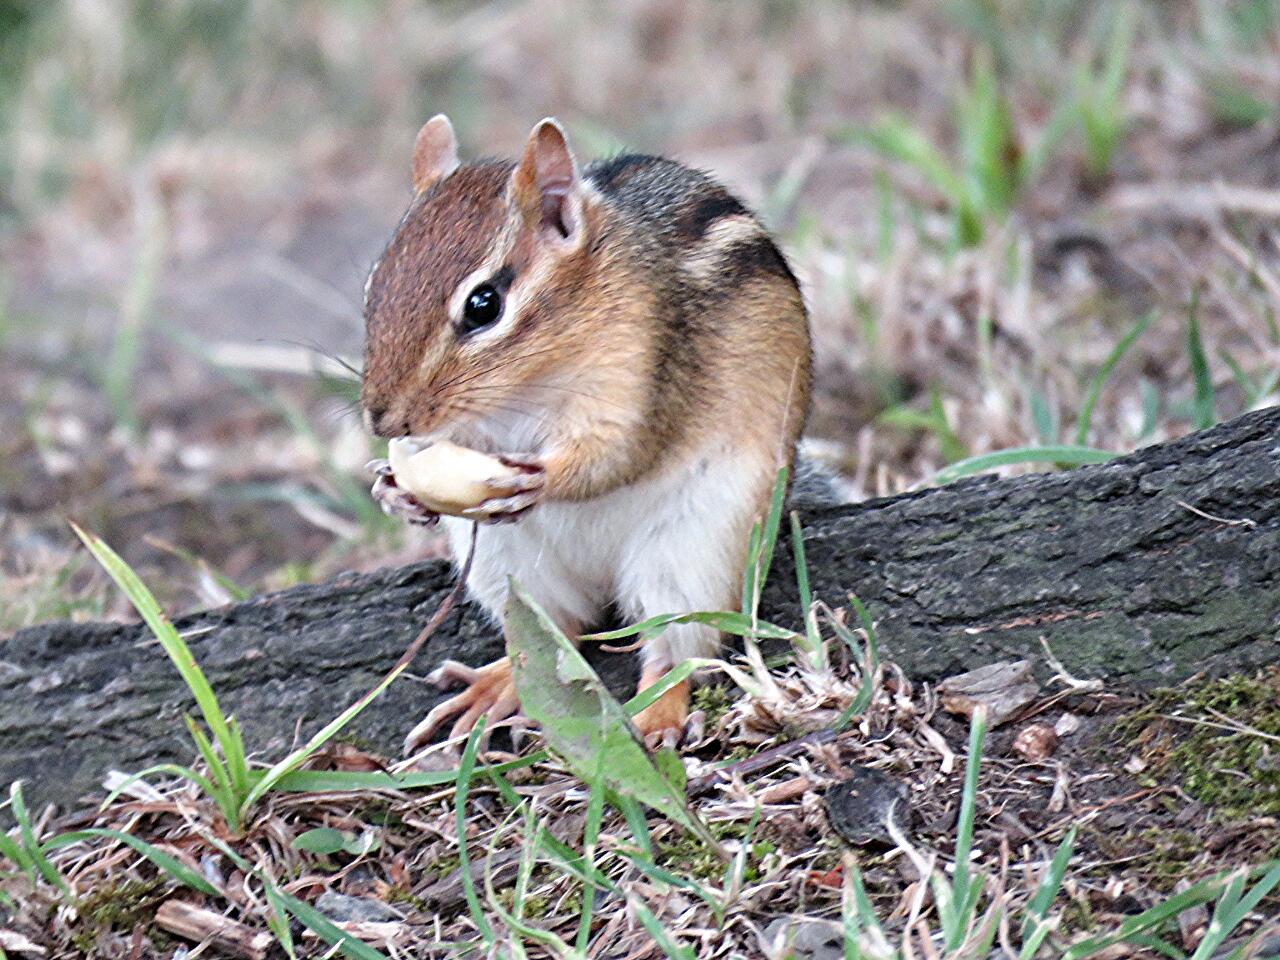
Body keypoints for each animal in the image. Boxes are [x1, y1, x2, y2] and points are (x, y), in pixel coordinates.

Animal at [361, 115, 812, 752]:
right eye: (372, 288)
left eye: (483, 305)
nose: (384, 421)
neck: (530, 384)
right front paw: (392, 490)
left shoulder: (645, 376)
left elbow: (617, 455)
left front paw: (539, 477)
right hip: (508, 566)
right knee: (552, 630)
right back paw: (493, 688)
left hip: (694, 549)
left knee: (675, 648)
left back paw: (656, 718)